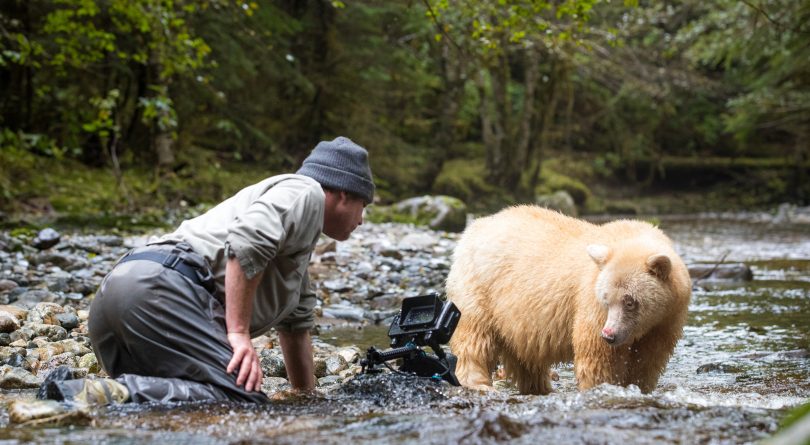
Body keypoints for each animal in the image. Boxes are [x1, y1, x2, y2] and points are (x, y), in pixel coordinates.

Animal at [446, 205, 691, 395]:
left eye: (630, 301)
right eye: (606, 299)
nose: (609, 334)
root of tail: (475, 227)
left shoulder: (666, 320)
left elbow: (648, 360)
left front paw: (638, 387)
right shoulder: (591, 303)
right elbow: (597, 358)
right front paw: (601, 388)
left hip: (517, 315)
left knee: (525, 356)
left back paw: (540, 388)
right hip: (480, 287)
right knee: (475, 338)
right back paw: (478, 383)